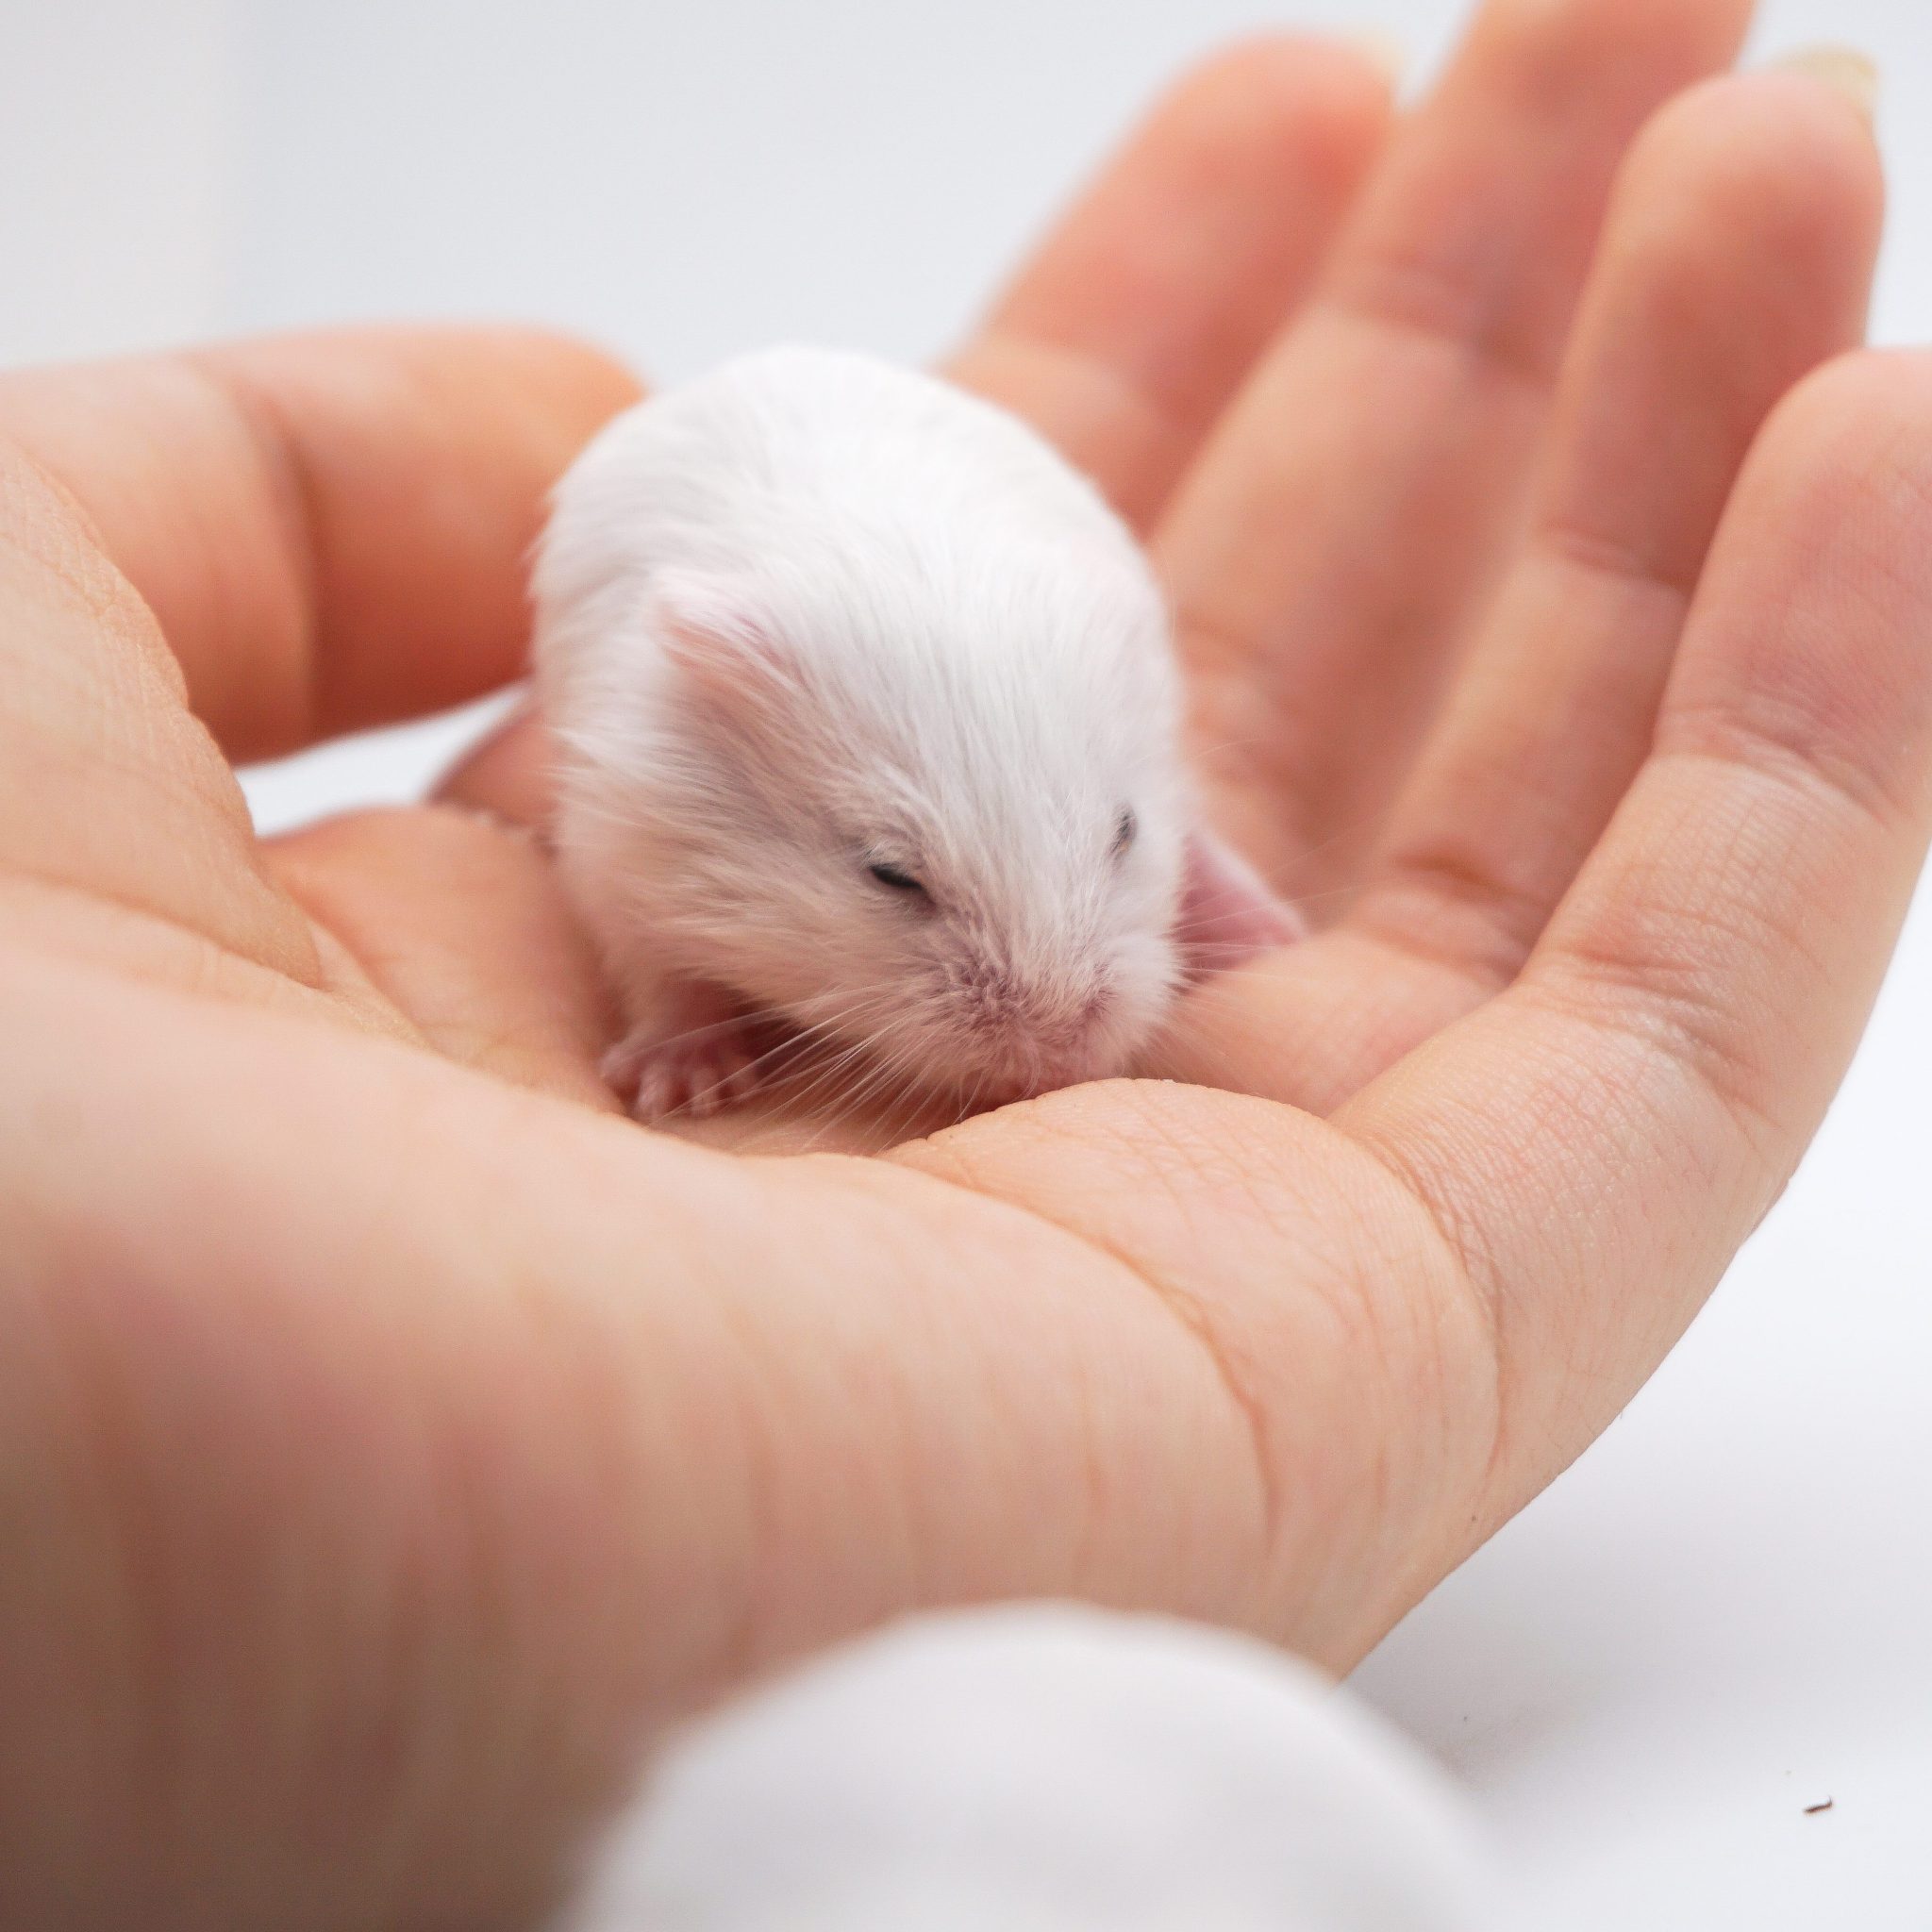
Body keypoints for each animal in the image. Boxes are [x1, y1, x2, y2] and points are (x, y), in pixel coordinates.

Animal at [532, 347, 1298, 1122]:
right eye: (889, 873)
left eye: (1126, 831)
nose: (1054, 1066)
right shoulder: (616, 844)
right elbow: (661, 973)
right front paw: (685, 1089)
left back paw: (1270, 930)